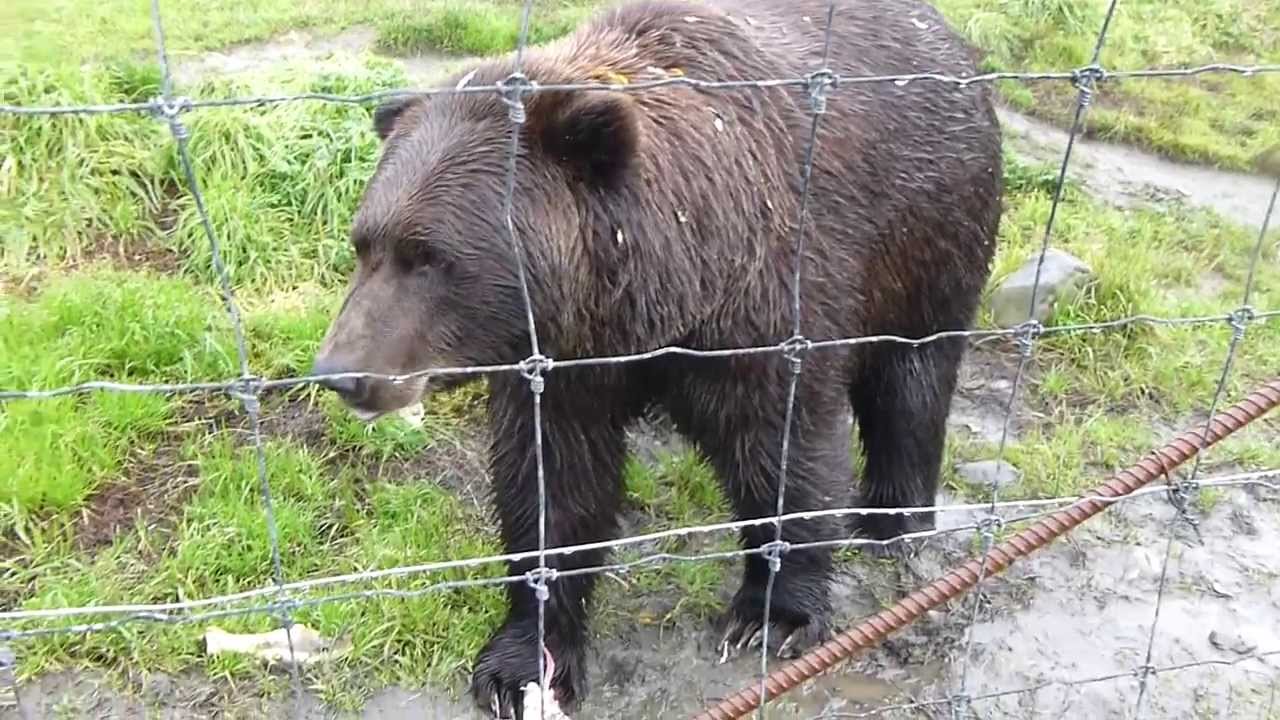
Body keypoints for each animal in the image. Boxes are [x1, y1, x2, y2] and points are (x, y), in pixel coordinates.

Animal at [311, 0, 1002, 716]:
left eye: (428, 256)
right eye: (365, 243)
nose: (341, 373)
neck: (654, 288)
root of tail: (948, 38)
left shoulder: (761, 301)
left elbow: (783, 445)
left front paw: (774, 613)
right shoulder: (565, 366)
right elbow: (553, 484)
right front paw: (525, 659)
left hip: (929, 227)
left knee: (912, 375)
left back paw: (893, 515)